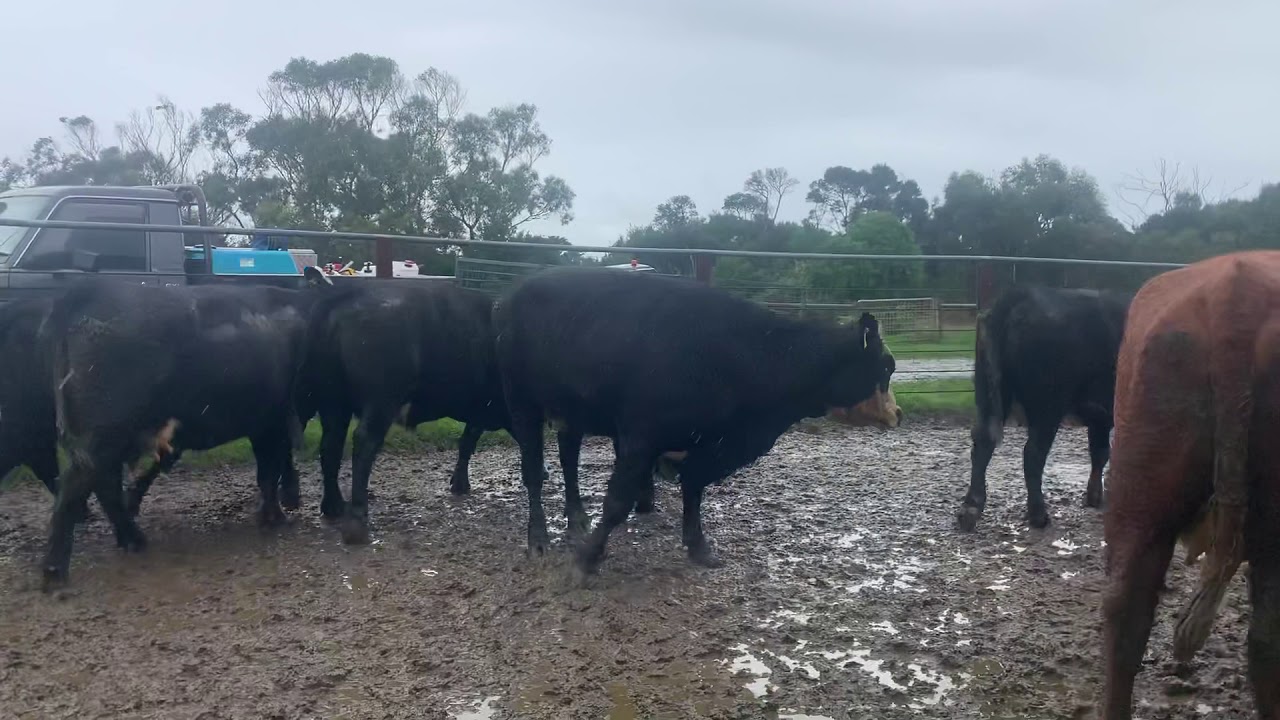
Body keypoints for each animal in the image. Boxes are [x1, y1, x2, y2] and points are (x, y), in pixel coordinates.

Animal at [37, 280, 314, 588]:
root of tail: (88, 289)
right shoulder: (274, 421)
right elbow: (271, 469)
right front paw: (274, 517)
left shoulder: (264, 423)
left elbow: (269, 470)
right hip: (103, 434)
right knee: (77, 487)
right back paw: (55, 570)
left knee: (103, 485)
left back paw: (131, 539)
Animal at [296, 266, 542, 545]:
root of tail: (347, 295)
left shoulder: (481, 409)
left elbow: (467, 441)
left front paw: (459, 483)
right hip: (381, 400)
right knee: (363, 443)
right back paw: (357, 521)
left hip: (333, 401)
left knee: (331, 445)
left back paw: (334, 506)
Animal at [493, 266, 898, 575]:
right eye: (886, 367)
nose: (898, 414)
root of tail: (514, 293)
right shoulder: (641, 436)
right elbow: (619, 501)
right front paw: (587, 559)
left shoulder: (707, 444)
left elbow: (693, 488)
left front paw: (698, 546)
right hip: (522, 404)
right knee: (533, 473)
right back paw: (538, 538)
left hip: (571, 413)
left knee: (569, 462)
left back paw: (576, 518)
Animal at [958, 285, 1131, 532]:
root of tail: (1023, 293)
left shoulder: (1100, 415)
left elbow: (1100, 453)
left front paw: (1094, 497)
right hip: (1048, 406)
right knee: (1033, 454)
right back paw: (1038, 514)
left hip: (987, 393)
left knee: (982, 443)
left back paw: (970, 510)